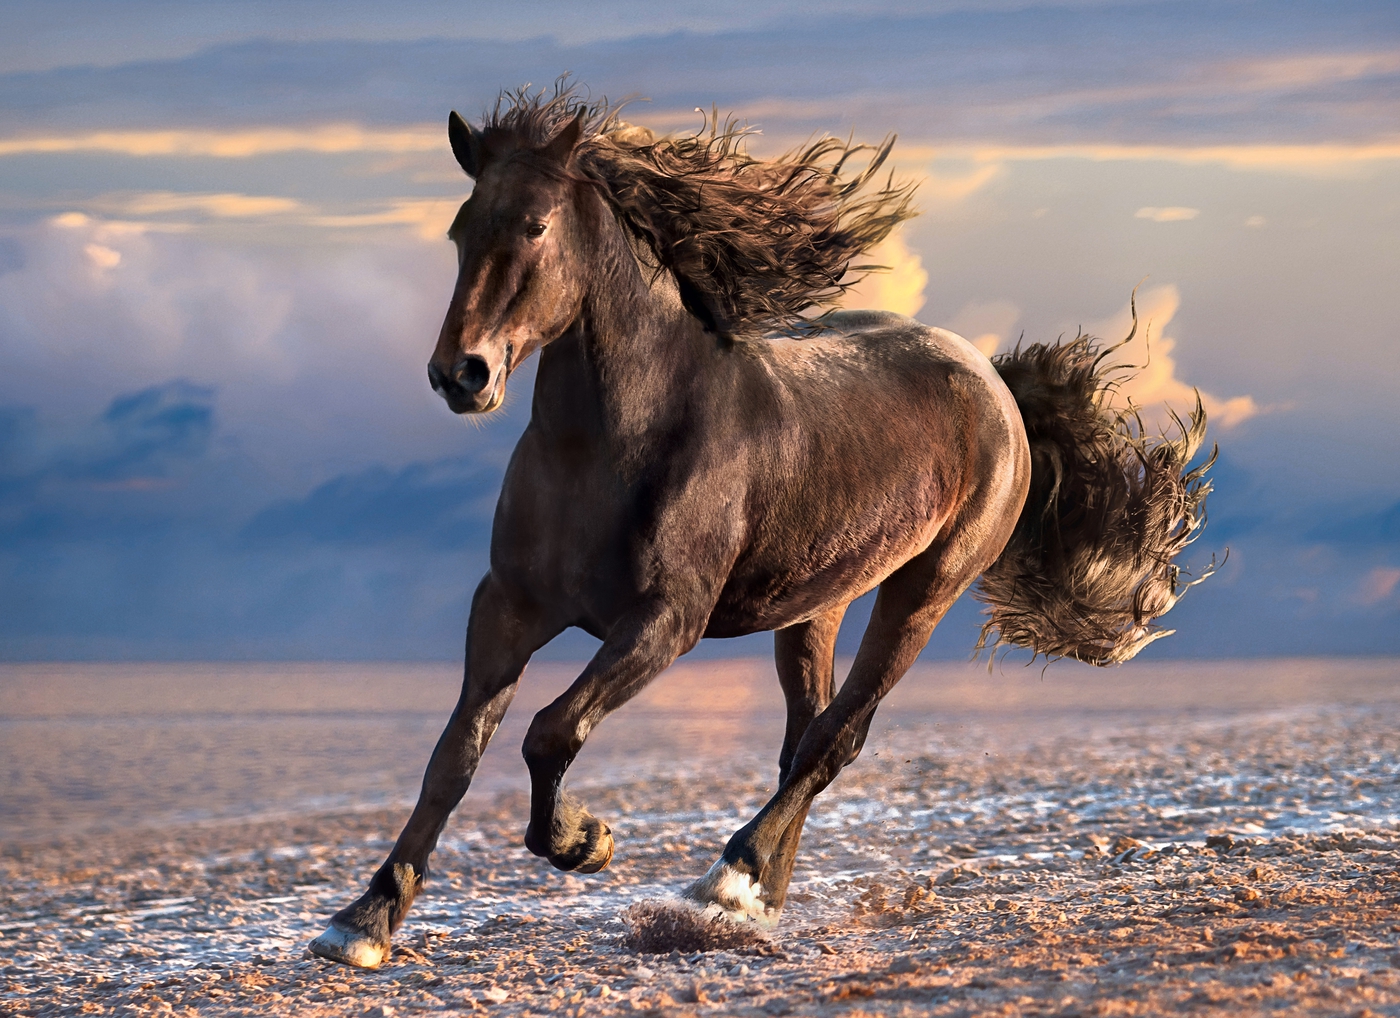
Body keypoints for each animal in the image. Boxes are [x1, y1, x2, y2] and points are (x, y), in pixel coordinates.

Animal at [309, 83, 1213, 968]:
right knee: (803, 735)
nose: (460, 374)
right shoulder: (507, 607)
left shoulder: (664, 621)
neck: (611, 446)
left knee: (836, 736)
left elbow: (549, 731)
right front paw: (363, 920)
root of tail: (993, 383)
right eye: (461, 229)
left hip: (924, 592)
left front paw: (585, 841)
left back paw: (729, 881)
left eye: (534, 224)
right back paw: (759, 897)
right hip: (817, 603)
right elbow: (455, 756)